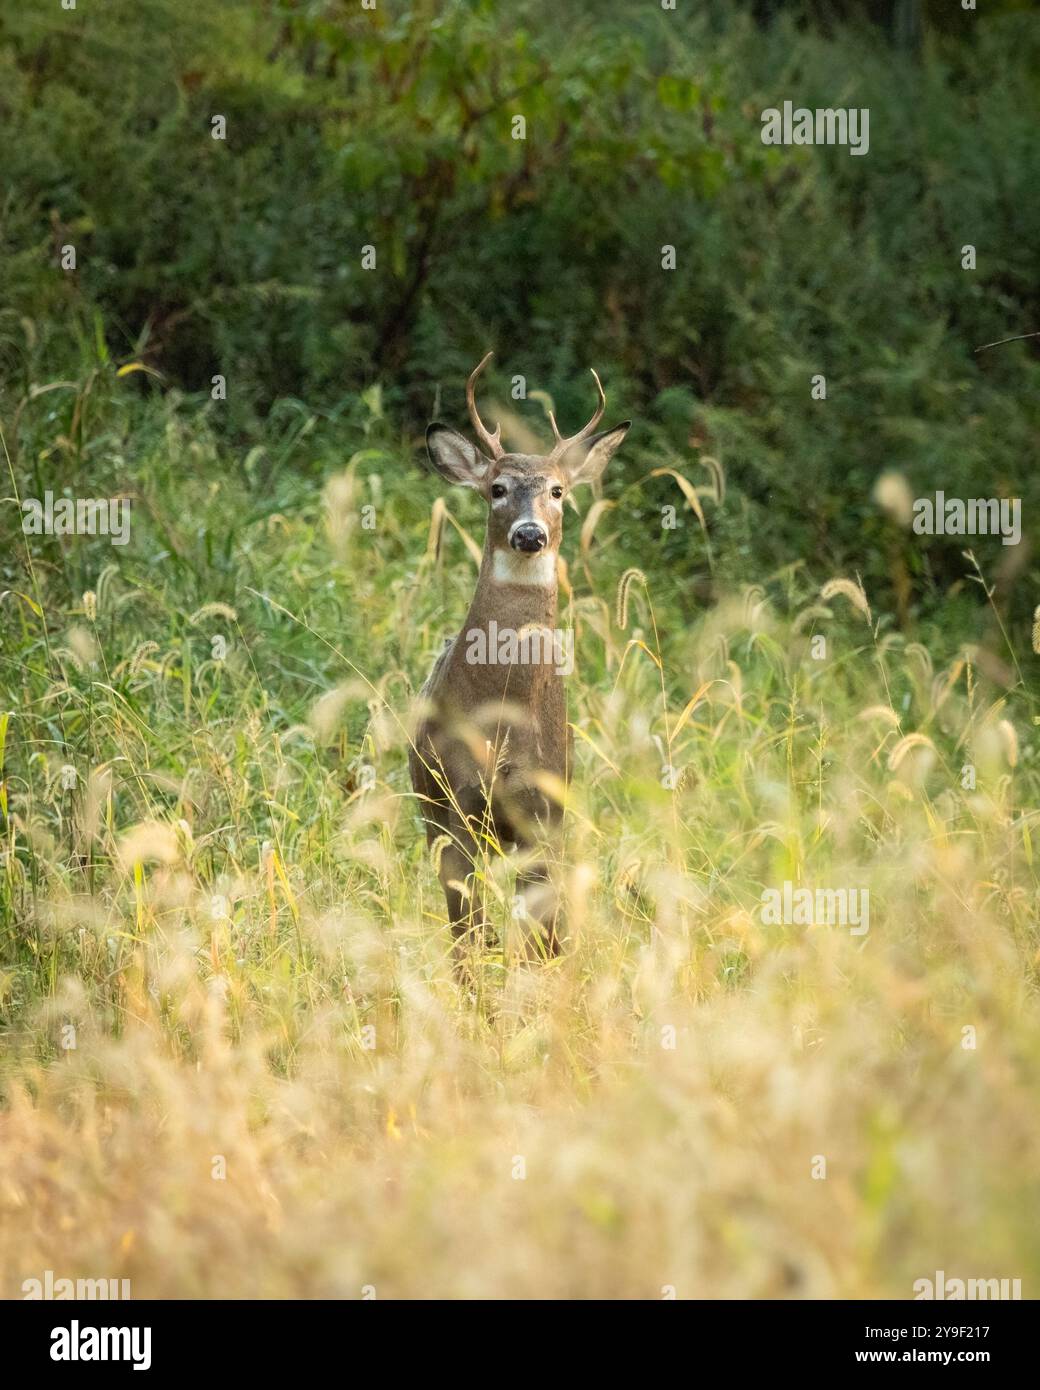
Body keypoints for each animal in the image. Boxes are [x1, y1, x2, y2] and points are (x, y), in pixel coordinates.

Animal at [409, 353, 629, 962]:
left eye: (557, 491)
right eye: (497, 487)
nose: (529, 534)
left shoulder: (544, 815)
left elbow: (541, 936)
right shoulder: (457, 808)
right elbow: (470, 933)